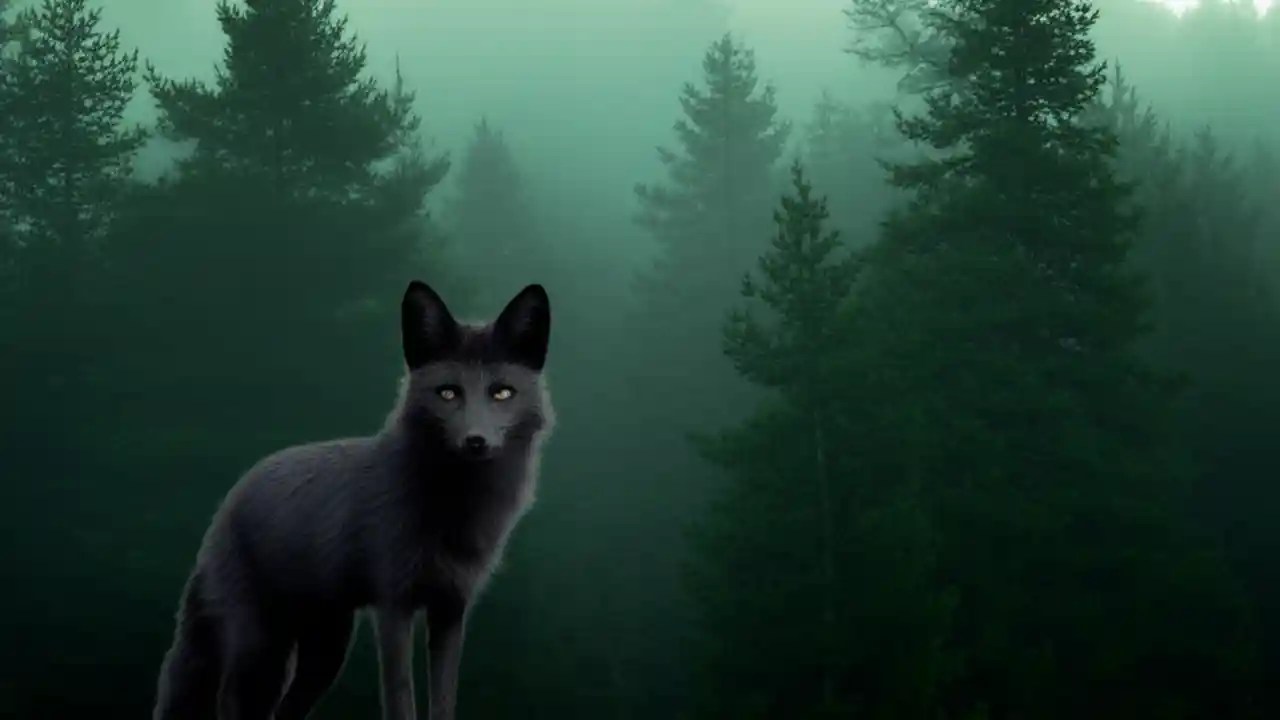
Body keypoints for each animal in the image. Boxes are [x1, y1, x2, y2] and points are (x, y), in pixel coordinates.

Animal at [151, 281, 555, 720]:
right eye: (448, 393)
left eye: (502, 393)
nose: (475, 441)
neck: (454, 507)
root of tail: (229, 499)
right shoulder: (394, 606)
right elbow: (400, 698)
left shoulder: (449, 609)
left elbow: (444, 700)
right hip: (261, 649)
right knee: (231, 701)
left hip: (325, 653)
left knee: (285, 709)